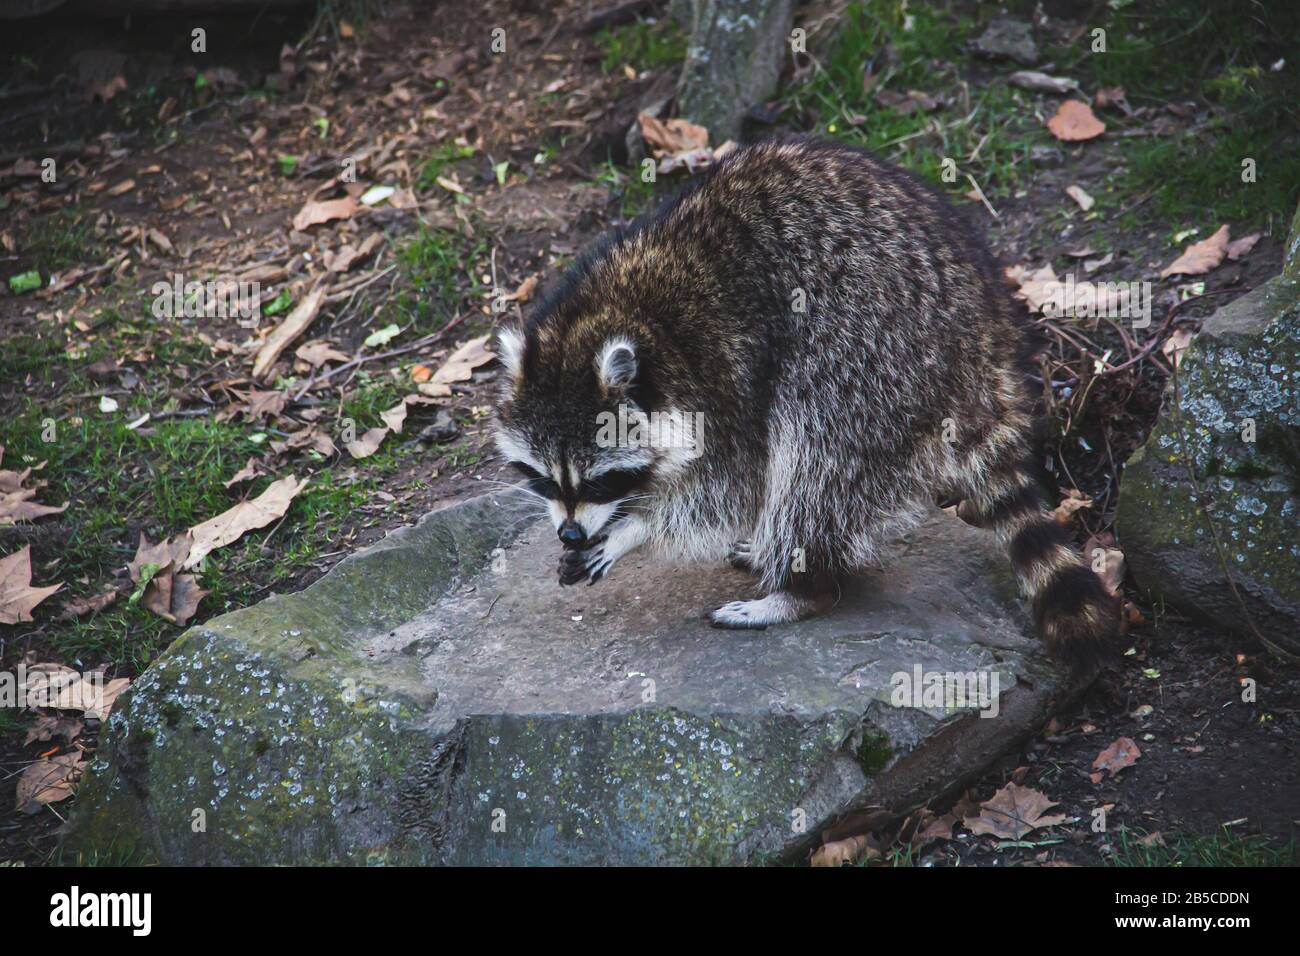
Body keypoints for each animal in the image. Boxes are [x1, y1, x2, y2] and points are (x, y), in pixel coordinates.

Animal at [493, 136, 1119, 666]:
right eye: (542, 479)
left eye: (601, 480)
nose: (570, 534)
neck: (615, 313)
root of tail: (988, 328)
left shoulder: (724, 371)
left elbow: (728, 486)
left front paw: (634, 532)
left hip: (876, 352)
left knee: (817, 458)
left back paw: (800, 587)